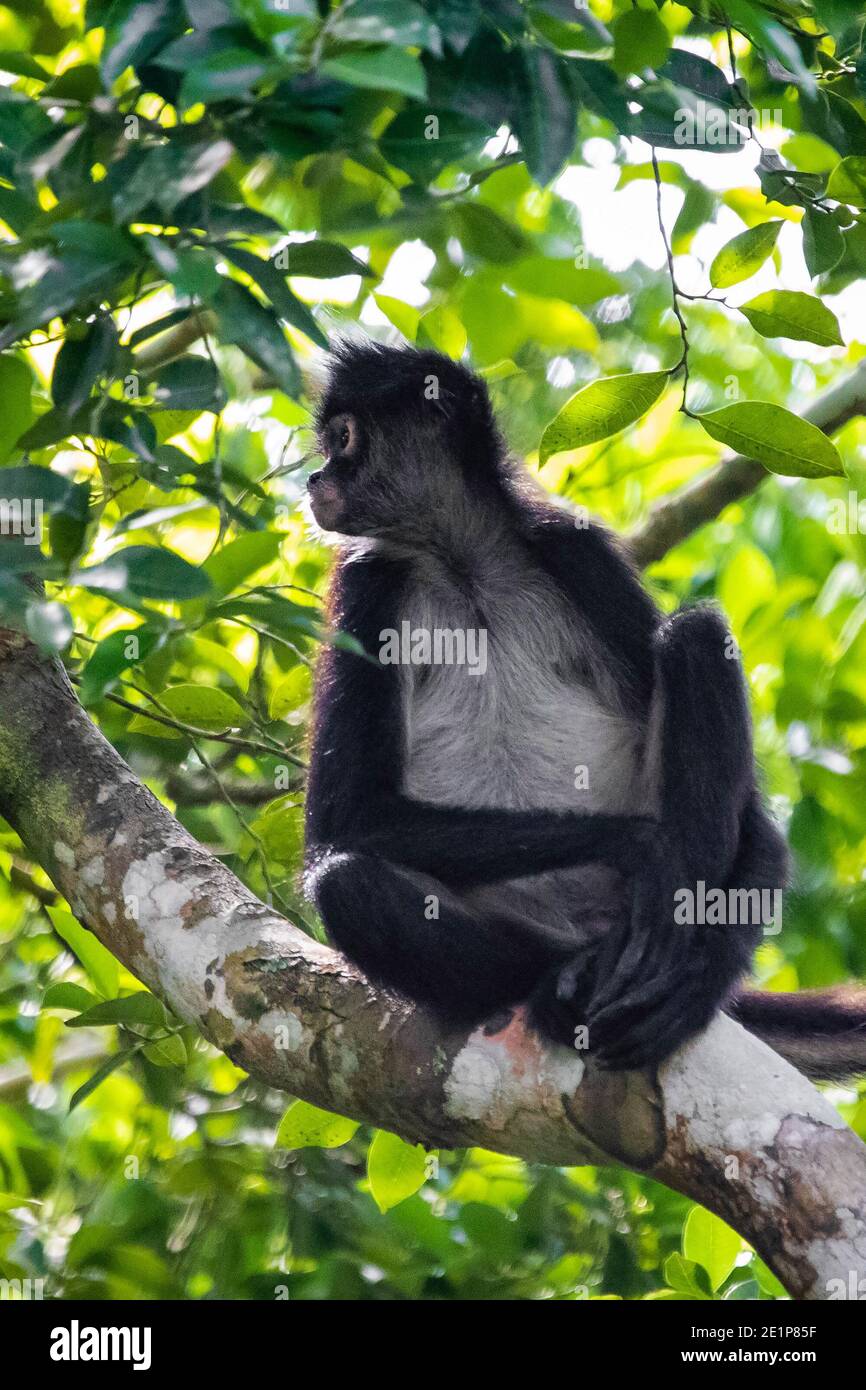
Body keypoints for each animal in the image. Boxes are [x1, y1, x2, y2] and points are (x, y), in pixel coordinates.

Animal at [302, 340, 866, 1078]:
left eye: (343, 439)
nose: (314, 479)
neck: (459, 561)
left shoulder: (570, 545)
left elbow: (758, 830)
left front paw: (700, 976)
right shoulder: (365, 578)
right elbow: (347, 819)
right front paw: (642, 845)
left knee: (695, 635)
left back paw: (669, 973)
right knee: (347, 883)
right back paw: (562, 982)